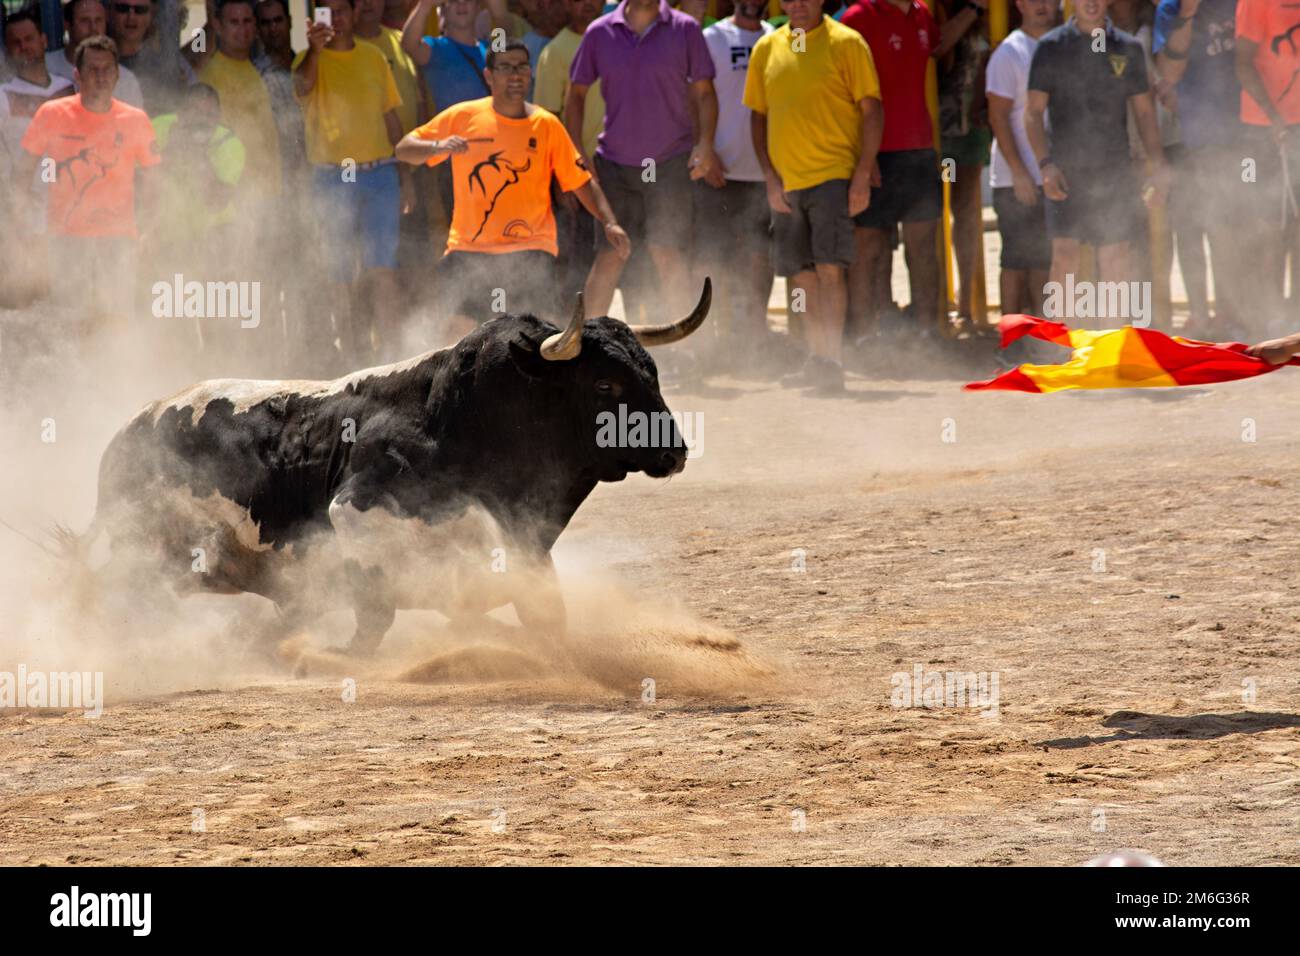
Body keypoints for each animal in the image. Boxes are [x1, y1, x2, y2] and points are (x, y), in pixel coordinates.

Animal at [75, 280, 711, 657]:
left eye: (652, 371)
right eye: (605, 384)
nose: (675, 451)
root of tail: (124, 435)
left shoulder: (530, 553)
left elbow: (543, 615)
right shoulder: (357, 510)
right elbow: (376, 607)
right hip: (146, 552)